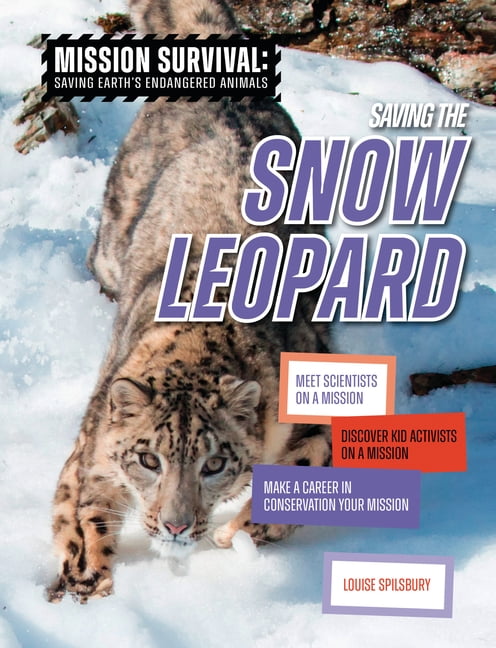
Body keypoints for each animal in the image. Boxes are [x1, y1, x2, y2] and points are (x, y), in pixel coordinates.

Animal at [47, 0, 331, 604]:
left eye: (215, 462)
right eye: (148, 458)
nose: (177, 524)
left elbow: (308, 466)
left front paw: (240, 533)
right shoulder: (94, 445)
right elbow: (83, 501)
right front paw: (85, 572)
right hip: (114, 232)